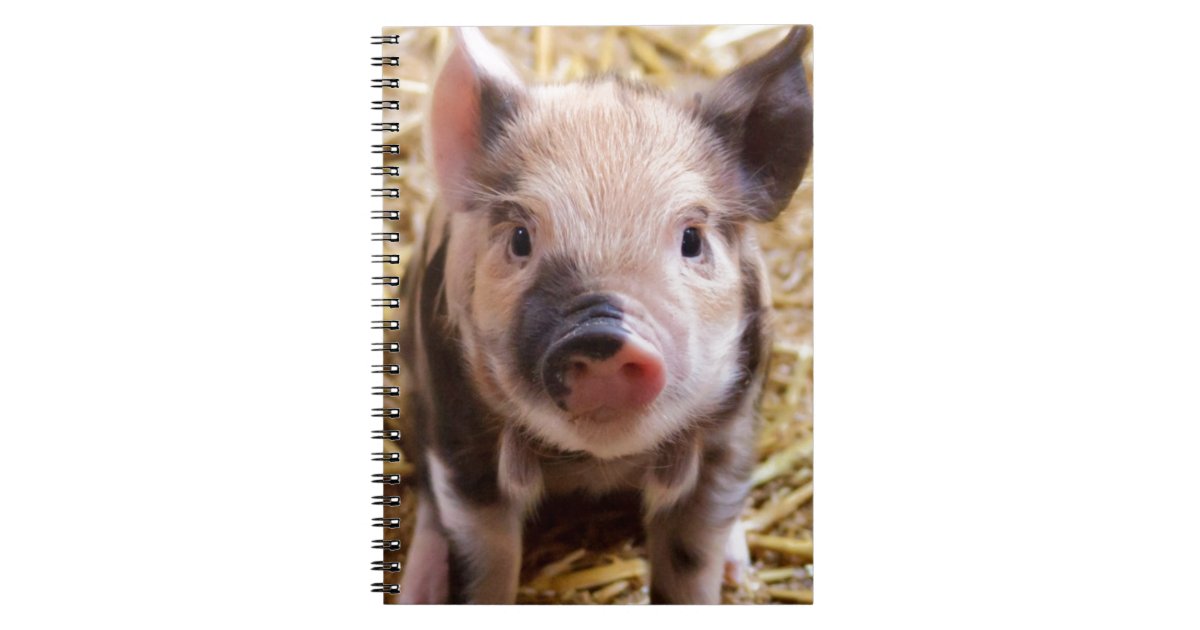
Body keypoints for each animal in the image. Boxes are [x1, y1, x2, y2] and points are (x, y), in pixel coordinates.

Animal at [395, 26, 812, 604]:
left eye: (692, 240)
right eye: (520, 238)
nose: (601, 335)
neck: (597, 465)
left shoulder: (731, 433)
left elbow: (692, 559)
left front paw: (719, 578)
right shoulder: (459, 434)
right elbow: (485, 562)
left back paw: (739, 570)